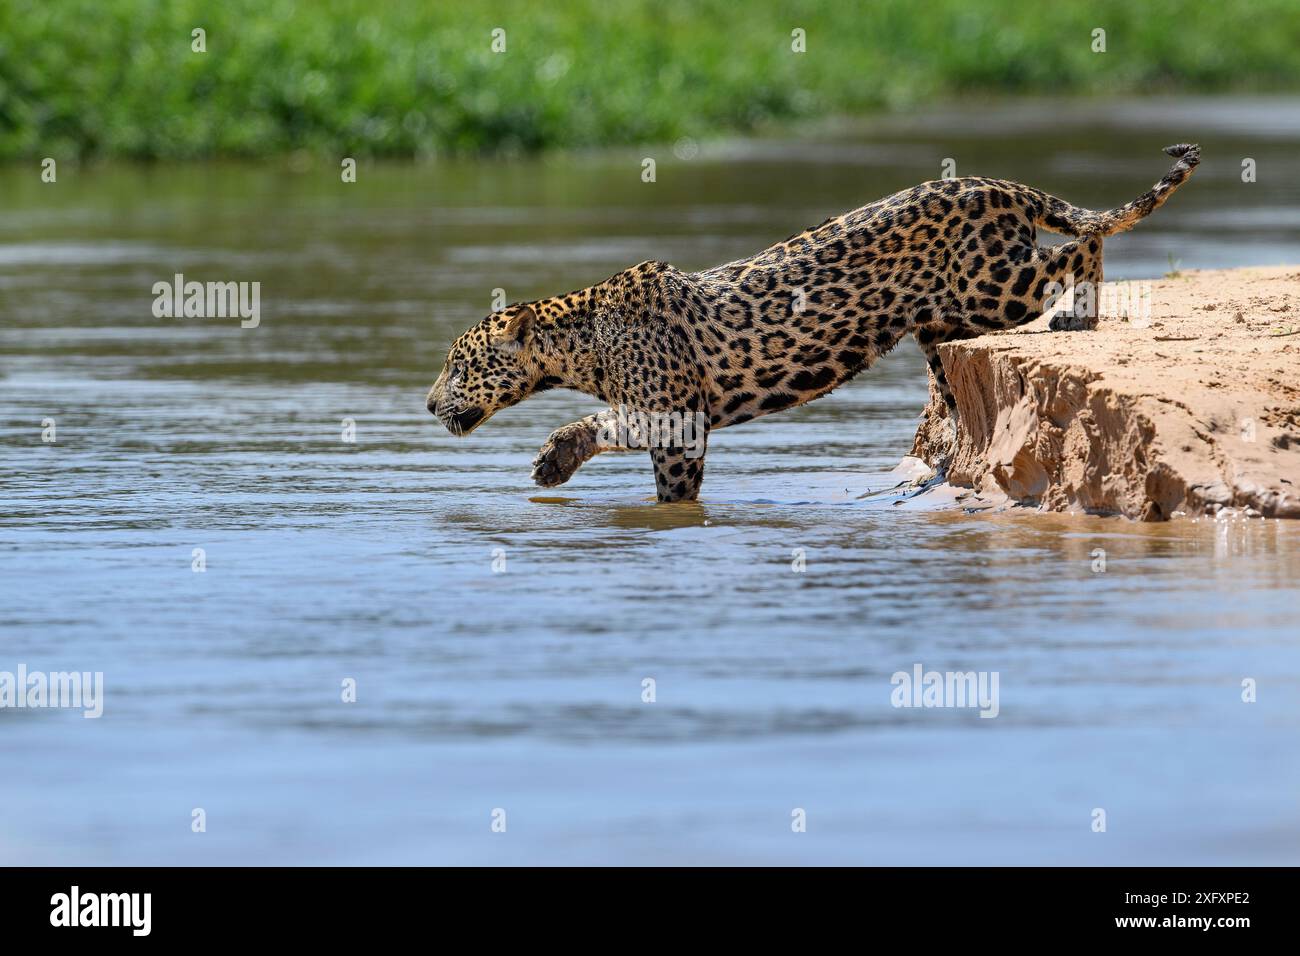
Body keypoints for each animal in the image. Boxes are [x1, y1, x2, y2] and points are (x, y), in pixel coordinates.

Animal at [427, 144, 1200, 502]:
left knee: (1082, 245)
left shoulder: (678, 416)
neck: (581, 344)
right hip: (942, 322)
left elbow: (644, 456)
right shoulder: (663, 416)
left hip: (995, 285)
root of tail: (996, 184)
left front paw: (600, 478)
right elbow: (623, 441)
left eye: (459, 365)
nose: (430, 403)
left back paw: (1081, 314)